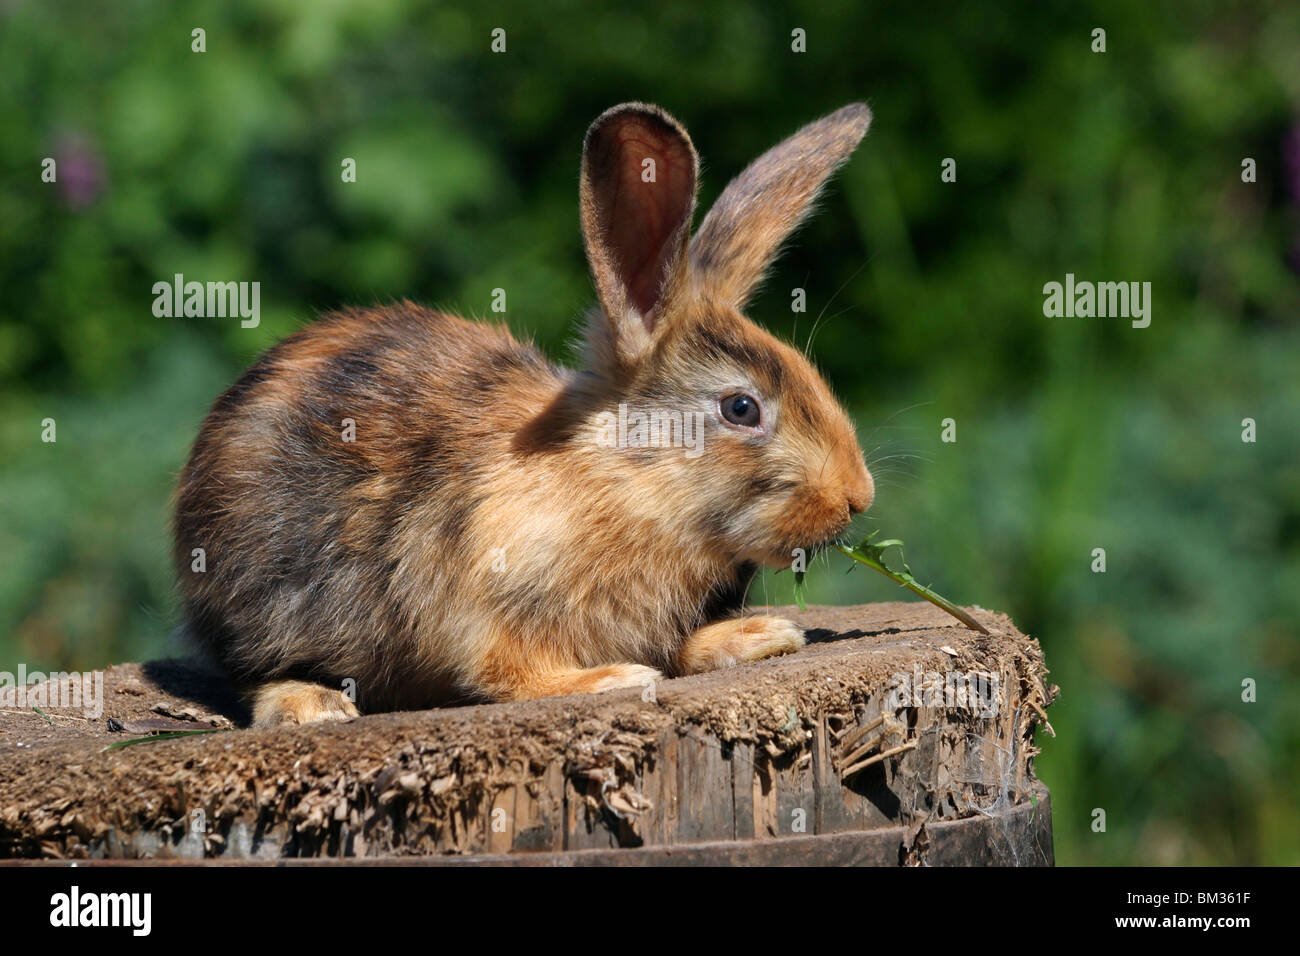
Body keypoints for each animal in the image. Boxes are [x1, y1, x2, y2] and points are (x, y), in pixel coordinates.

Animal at [173, 101, 875, 727]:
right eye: (741, 407)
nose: (856, 498)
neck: (630, 482)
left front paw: (760, 637)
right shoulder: (482, 602)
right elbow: (508, 671)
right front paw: (614, 679)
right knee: (253, 673)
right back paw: (313, 705)